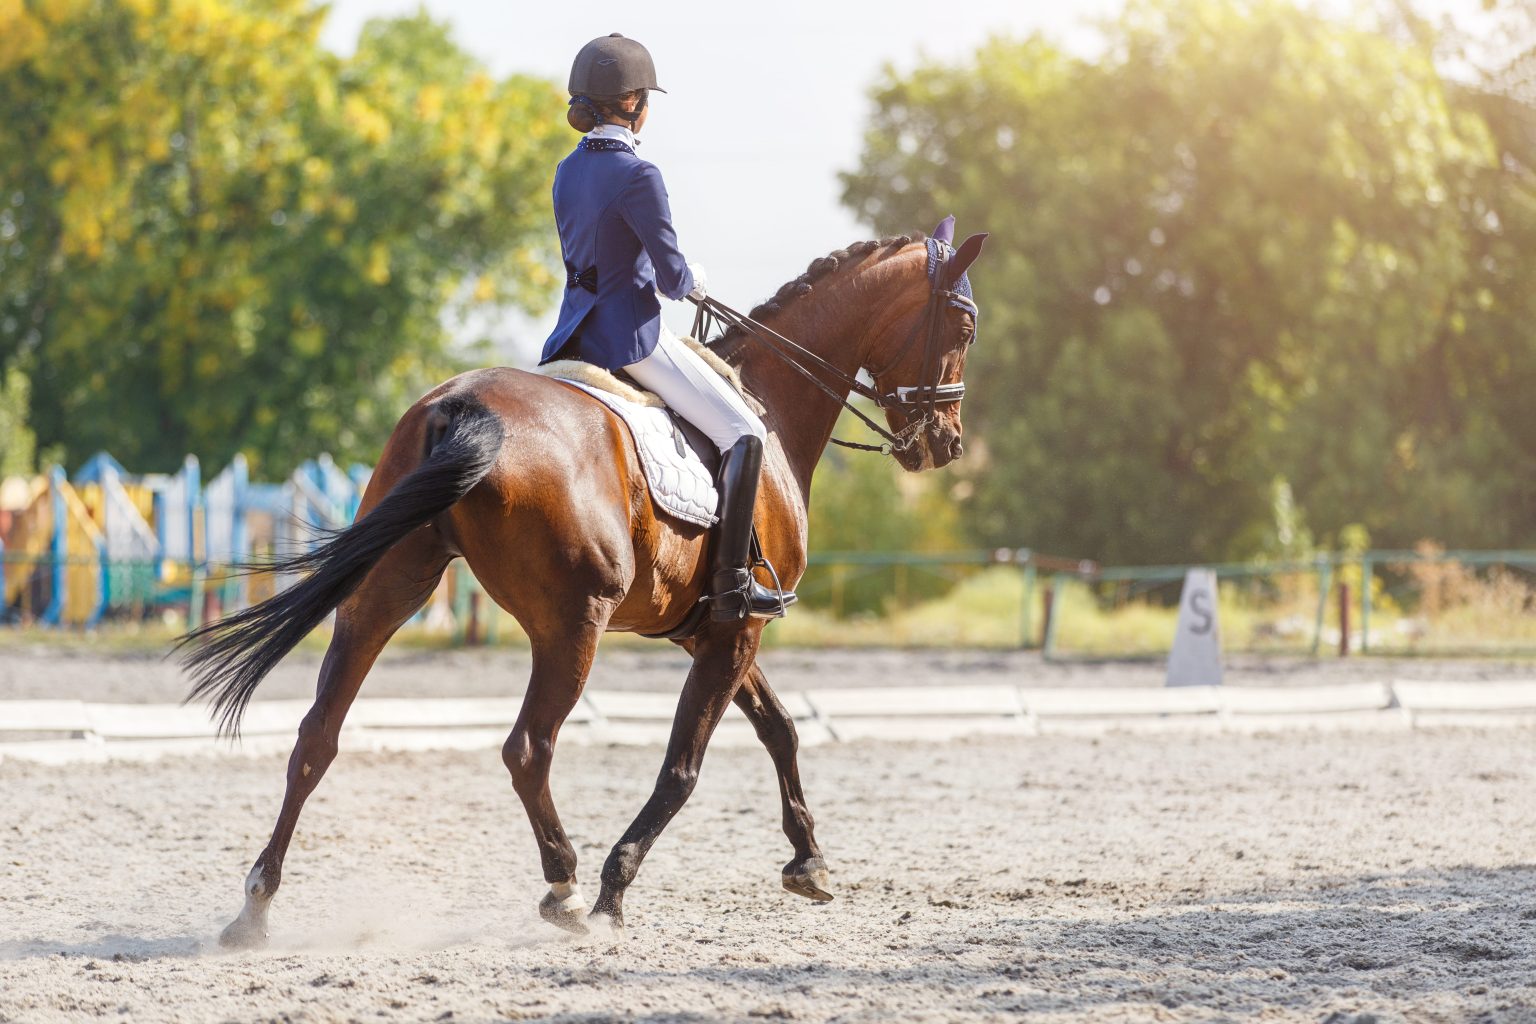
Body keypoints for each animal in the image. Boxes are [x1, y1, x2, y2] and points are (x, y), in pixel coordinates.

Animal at [181, 221, 988, 947]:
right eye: (965, 325)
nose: (945, 442)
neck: (772, 400)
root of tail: (462, 407)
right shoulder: (739, 626)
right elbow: (684, 768)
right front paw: (614, 889)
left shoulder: (713, 630)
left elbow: (780, 729)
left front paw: (809, 862)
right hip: (572, 624)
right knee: (528, 750)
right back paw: (565, 889)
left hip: (384, 595)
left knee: (317, 737)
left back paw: (255, 908)